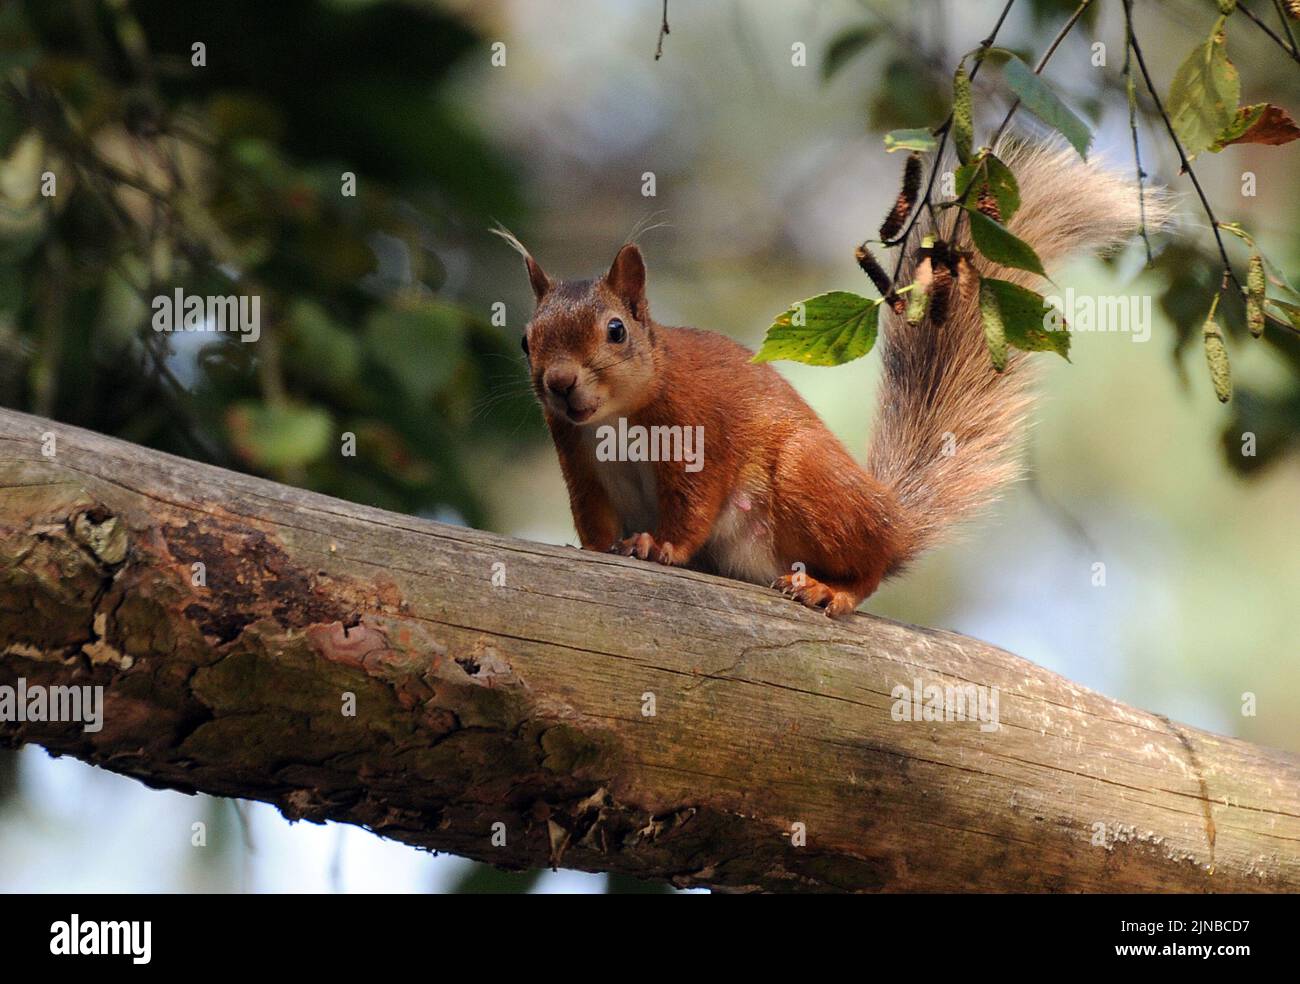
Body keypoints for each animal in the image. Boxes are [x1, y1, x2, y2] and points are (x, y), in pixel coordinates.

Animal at [501, 143, 1159, 617]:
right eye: (526, 340)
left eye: (615, 331)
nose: (558, 383)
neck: (615, 417)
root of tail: (895, 518)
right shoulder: (577, 457)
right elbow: (592, 517)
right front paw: (594, 551)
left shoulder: (698, 426)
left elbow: (692, 503)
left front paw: (658, 547)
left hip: (807, 478)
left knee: (870, 567)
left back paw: (831, 591)